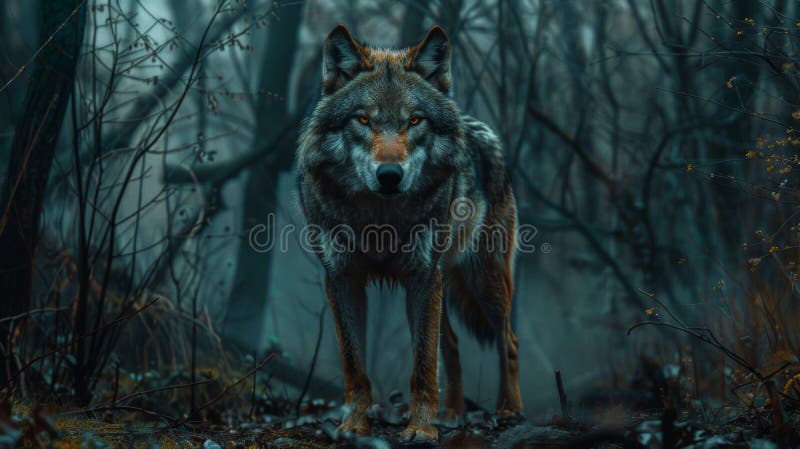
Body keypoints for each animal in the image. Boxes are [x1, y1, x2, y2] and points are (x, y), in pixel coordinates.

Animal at [296, 24, 522, 442]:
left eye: (414, 121)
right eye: (363, 120)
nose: (389, 175)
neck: (379, 220)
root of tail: (479, 126)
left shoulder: (420, 277)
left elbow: (422, 365)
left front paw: (420, 429)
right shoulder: (342, 278)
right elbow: (355, 365)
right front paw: (354, 425)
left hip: (482, 279)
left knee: (508, 339)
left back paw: (509, 409)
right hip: (445, 283)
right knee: (452, 343)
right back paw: (451, 413)